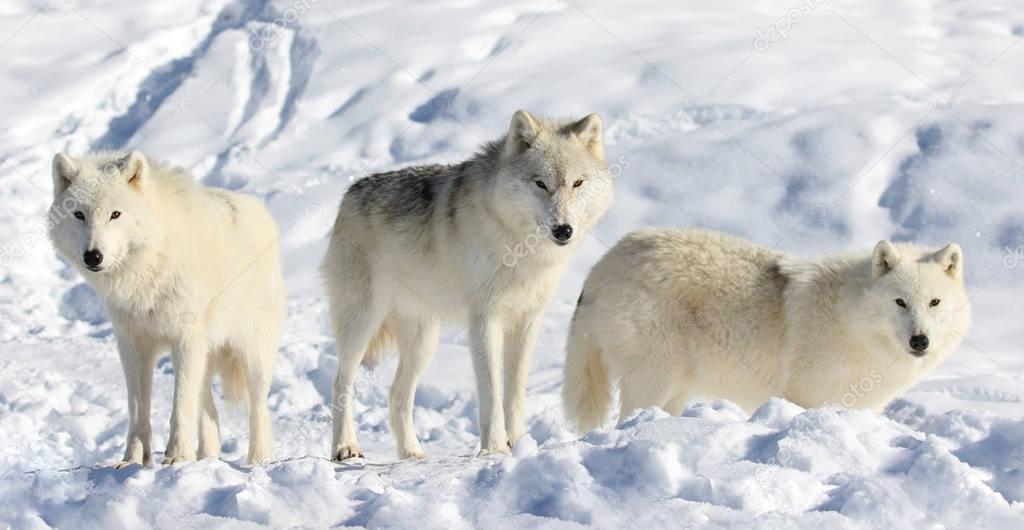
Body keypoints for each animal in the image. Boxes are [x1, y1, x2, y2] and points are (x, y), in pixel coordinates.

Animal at [48, 151, 284, 466]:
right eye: (79, 215)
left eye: (115, 214)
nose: (93, 256)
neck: (147, 267)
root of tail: (258, 209)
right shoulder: (133, 344)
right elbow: (138, 411)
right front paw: (132, 461)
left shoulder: (185, 339)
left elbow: (180, 406)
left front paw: (177, 457)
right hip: (206, 357)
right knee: (209, 412)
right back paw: (206, 459)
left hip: (252, 352)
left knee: (259, 410)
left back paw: (257, 461)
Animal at [322, 110, 613, 460]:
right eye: (540, 183)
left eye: (577, 183)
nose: (563, 230)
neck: (520, 250)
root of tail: (349, 193)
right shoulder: (485, 320)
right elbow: (491, 391)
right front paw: (494, 449)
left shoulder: (527, 321)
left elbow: (515, 392)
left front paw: (520, 443)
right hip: (362, 325)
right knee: (341, 383)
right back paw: (345, 448)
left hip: (423, 342)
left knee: (397, 395)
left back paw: (412, 454)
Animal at [563, 228, 971, 434]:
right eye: (900, 302)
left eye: (934, 303)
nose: (920, 341)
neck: (850, 319)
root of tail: (603, 264)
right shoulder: (805, 397)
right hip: (654, 379)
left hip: (676, 389)